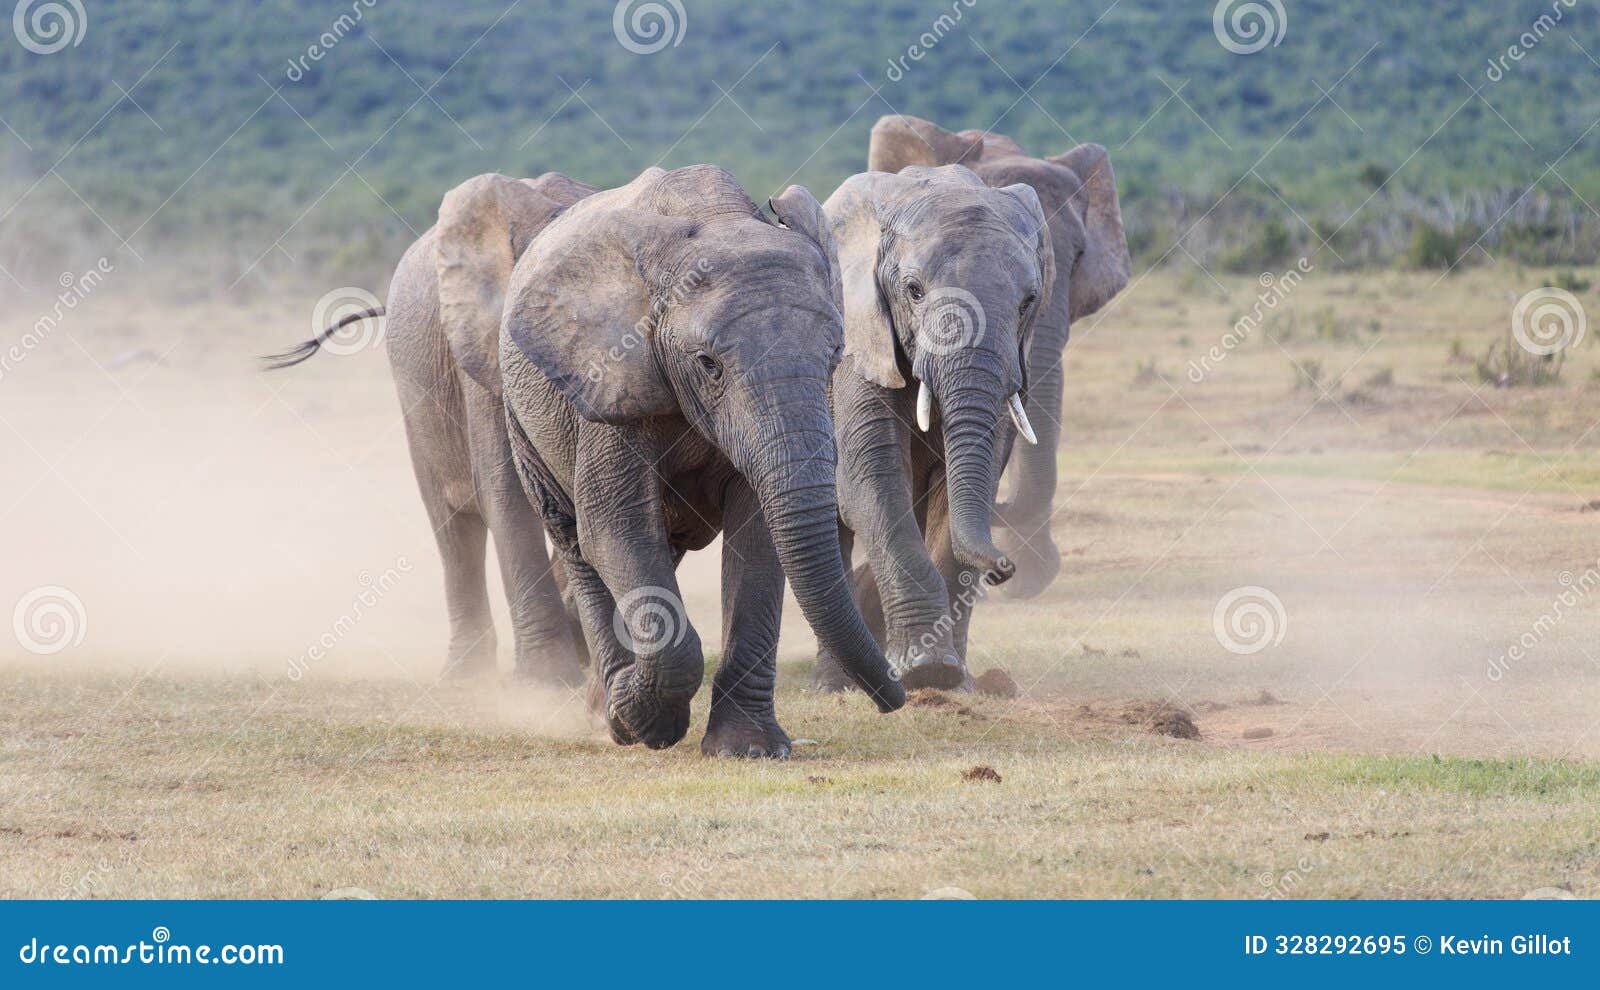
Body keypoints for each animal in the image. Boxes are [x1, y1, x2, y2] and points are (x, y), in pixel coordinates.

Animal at [265, 172, 597, 687]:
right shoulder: (482, 354)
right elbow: (509, 492)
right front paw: (546, 688)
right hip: (412, 386)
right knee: (453, 525)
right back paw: (465, 677)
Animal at [494, 163, 905, 755]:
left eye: (834, 354)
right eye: (708, 364)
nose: (898, 696)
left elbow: (757, 539)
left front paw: (749, 749)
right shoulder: (611, 379)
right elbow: (616, 528)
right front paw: (643, 721)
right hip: (522, 417)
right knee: (577, 539)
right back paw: (611, 715)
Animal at [811, 163, 1055, 692]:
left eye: (1027, 302)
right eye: (914, 291)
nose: (1005, 568)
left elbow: (959, 490)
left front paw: (949, 680)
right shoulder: (859, 341)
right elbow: (874, 483)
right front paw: (925, 671)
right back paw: (834, 686)